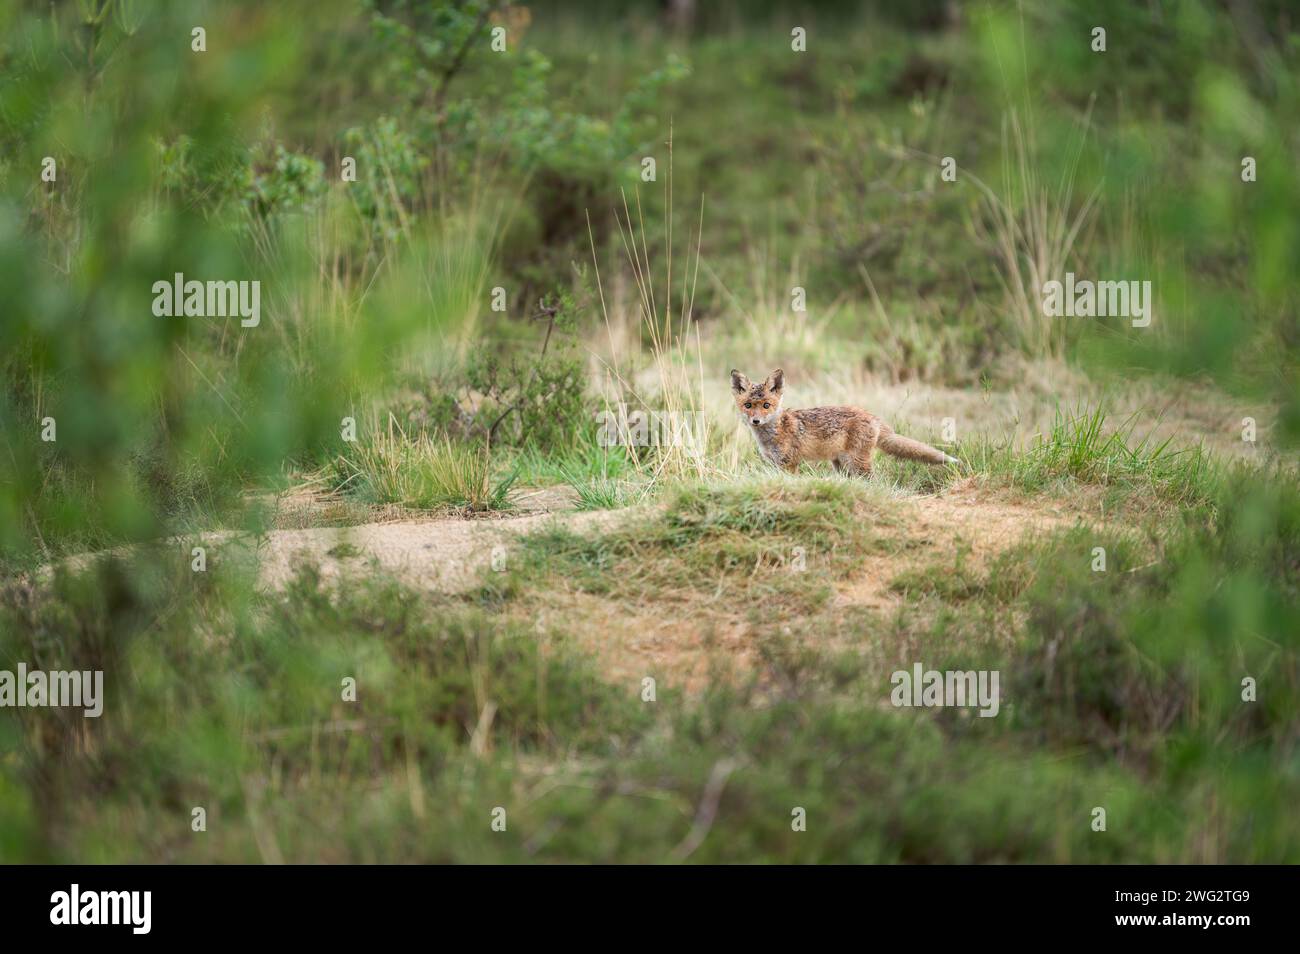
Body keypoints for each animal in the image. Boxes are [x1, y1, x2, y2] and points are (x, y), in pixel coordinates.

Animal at [730, 368, 960, 476]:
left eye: (766, 405)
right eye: (748, 405)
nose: (756, 421)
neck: (773, 434)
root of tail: (871, 415)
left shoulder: (789, 464)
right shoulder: (774, 464)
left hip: (857, 463)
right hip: (841, 465)